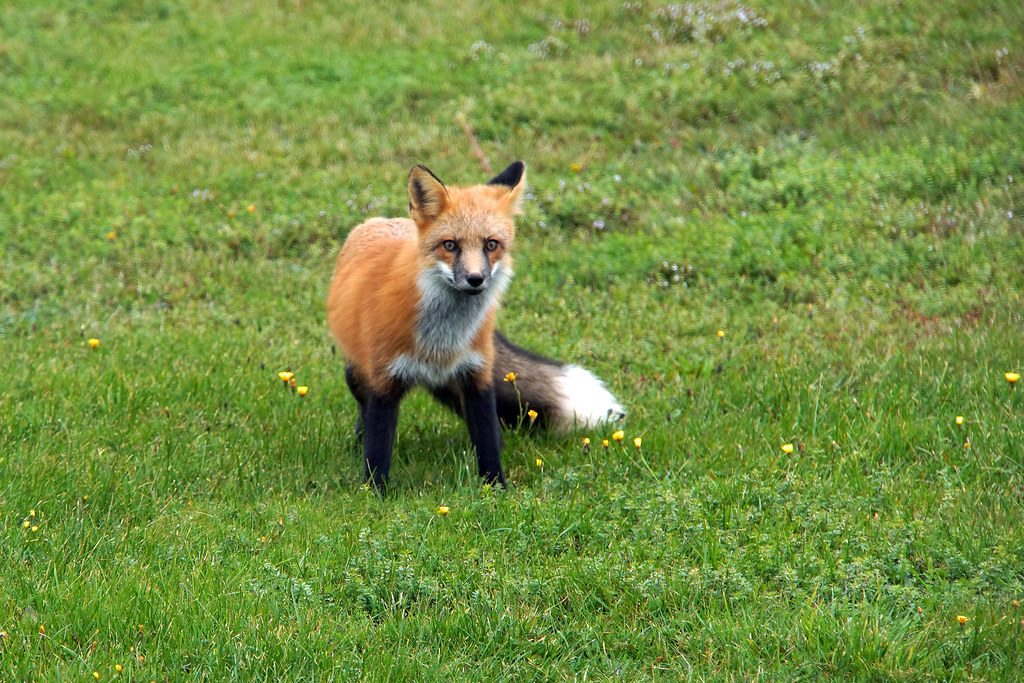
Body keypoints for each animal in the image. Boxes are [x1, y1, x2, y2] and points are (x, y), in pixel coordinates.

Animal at [326, 161, 624, 491]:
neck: (442, 339)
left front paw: (496, 489)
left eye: (491, 245)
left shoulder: (476, 373)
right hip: (357, 375)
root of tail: (378, 220)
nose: (475, 279)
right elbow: (378, 446)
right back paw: (357, 446)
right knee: (363, 413)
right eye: (450, 245)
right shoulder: (384, 380)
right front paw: (375, 492)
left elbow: (487, 439)